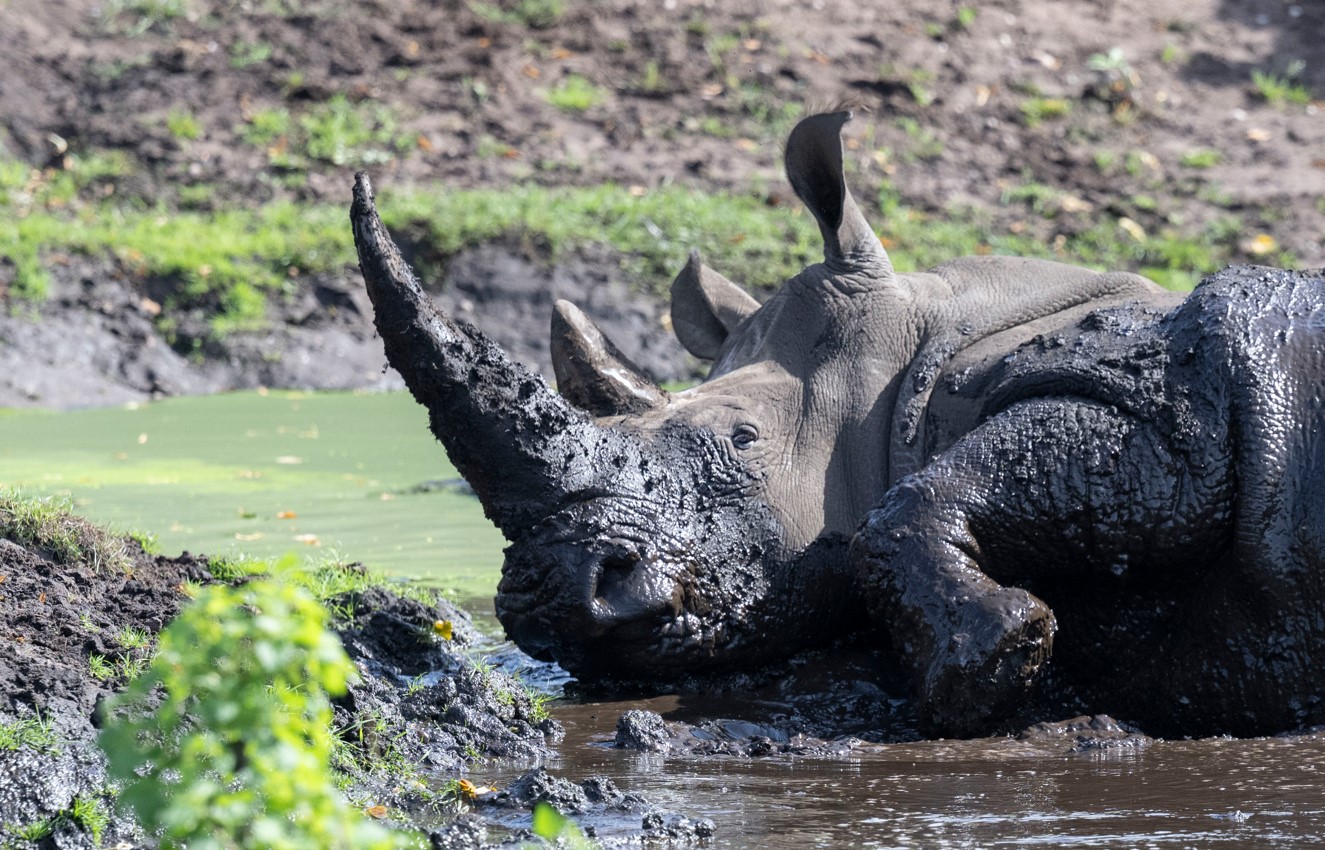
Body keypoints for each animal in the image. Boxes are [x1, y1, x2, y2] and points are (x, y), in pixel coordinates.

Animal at [351, 111, 1325, 739]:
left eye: (740, 439)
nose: (552, 594)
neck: (928, 349)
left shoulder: (1166, 401)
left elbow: (922, 502)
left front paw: (991, 662)